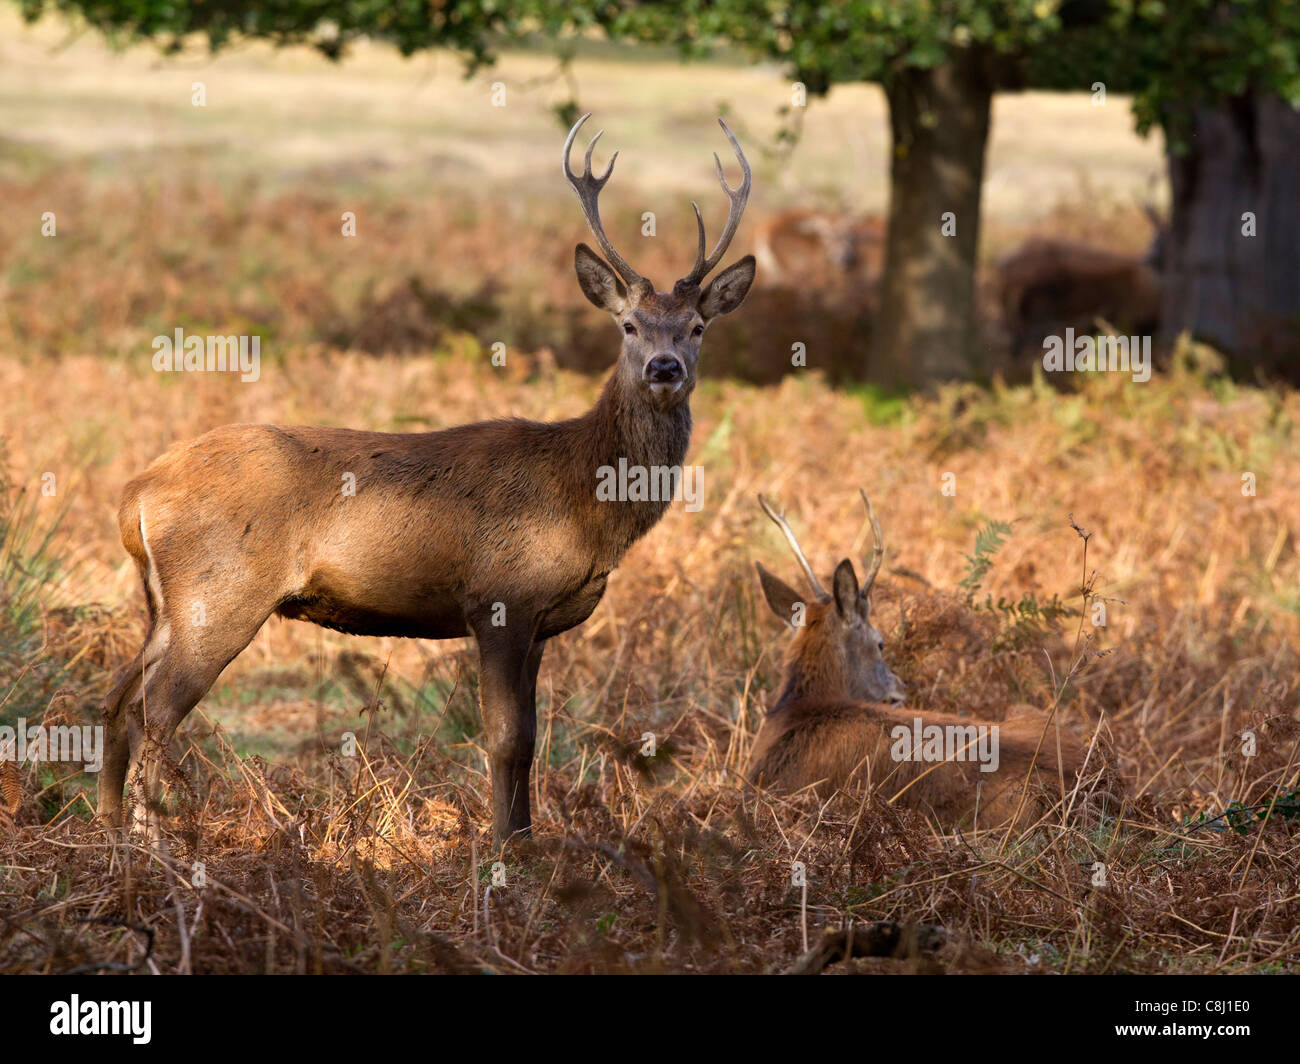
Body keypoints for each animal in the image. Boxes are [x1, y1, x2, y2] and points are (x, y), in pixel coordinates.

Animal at [98, 114, 756, 845]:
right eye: (630, 325)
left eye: (697, 326)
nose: (665, 368)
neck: (584, 501)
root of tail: (136, 494)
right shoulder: (501, 597)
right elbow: (506, 739)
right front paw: (503, 851)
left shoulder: (541, 623)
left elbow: (530, 738)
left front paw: (527, 841)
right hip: (221, 593)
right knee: (155, 709)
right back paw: (153, 843)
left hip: (166, 601)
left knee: (116, 699)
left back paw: (108, 834)